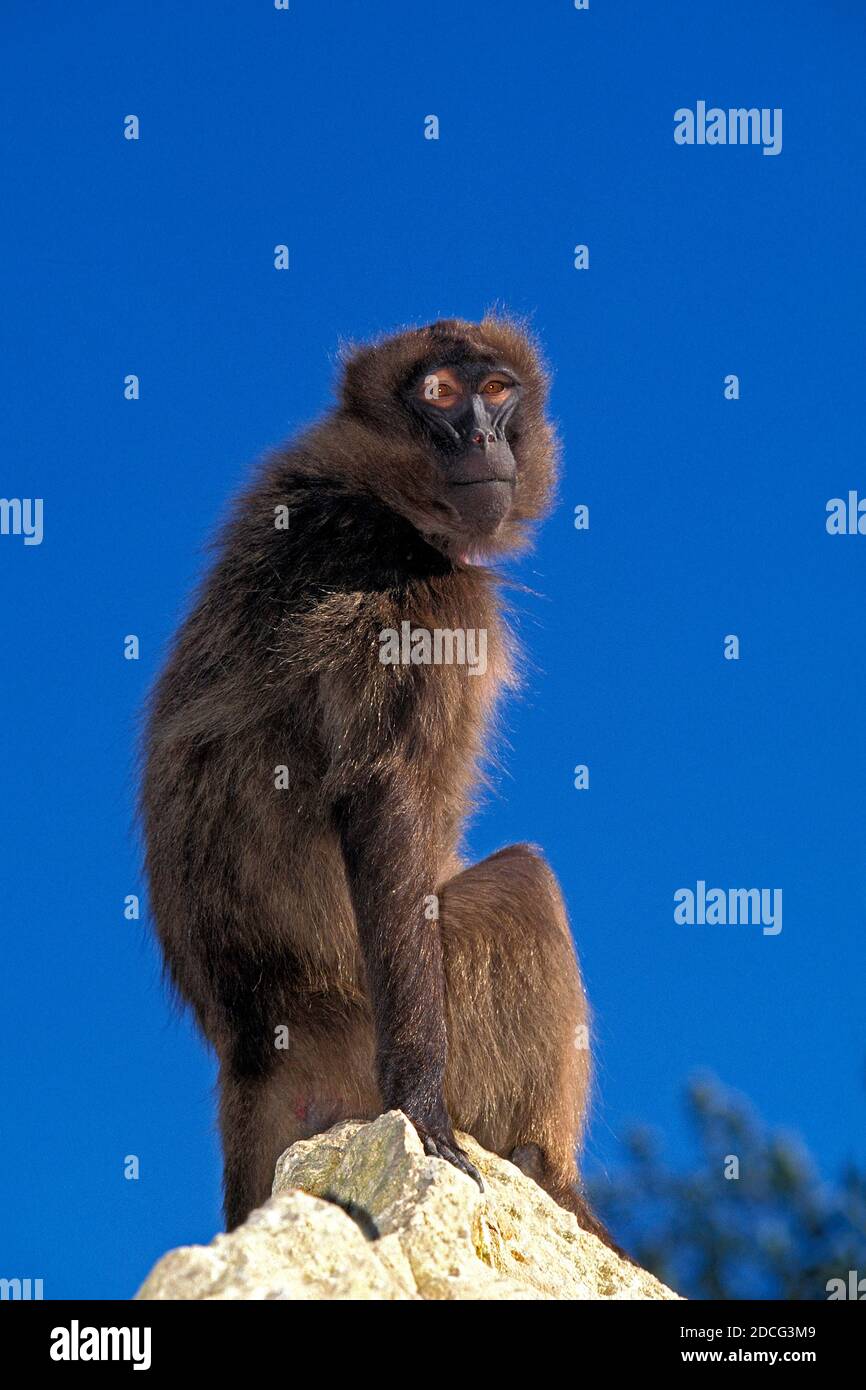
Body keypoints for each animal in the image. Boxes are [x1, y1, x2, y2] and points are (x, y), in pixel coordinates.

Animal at [141, 314, 616, 1248]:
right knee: (526, 886)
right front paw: (421, 1102)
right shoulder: (405, 587)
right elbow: (381, 794)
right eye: (440, 393)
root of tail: (253, 1051)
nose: (480, 438)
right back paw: (552, 1174)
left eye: (496, 390)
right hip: (392, 1023)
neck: (379, 486)